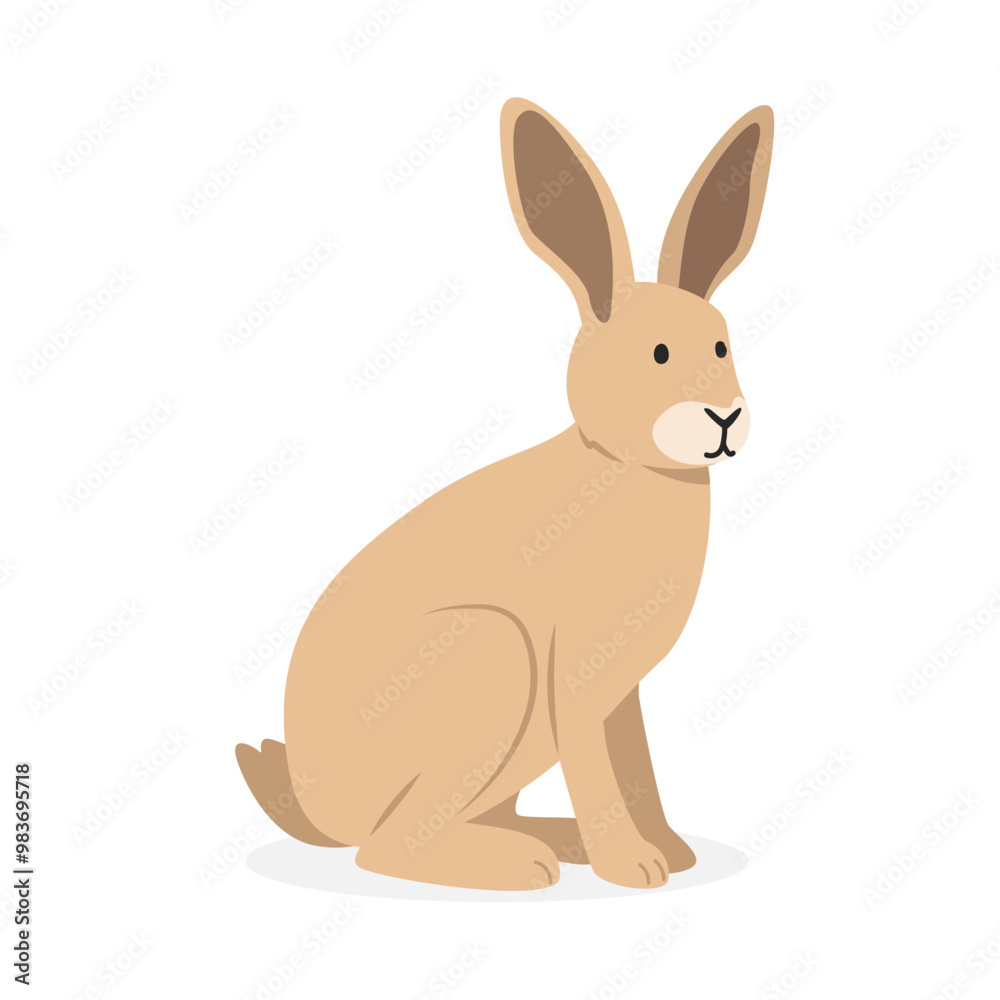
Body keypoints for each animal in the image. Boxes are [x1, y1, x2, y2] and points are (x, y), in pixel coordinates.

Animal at [237, 98, 774, 891]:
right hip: (491, 662)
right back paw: (520, 866)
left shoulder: (622, 695)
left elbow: (636, 763)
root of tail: (314, 810)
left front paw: (670, 852)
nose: (724, 418)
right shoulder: (573, 675)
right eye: (657, 354)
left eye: (722, 346)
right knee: (387, 849)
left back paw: (547, 840)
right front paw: (635, 868)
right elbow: (599, 769)